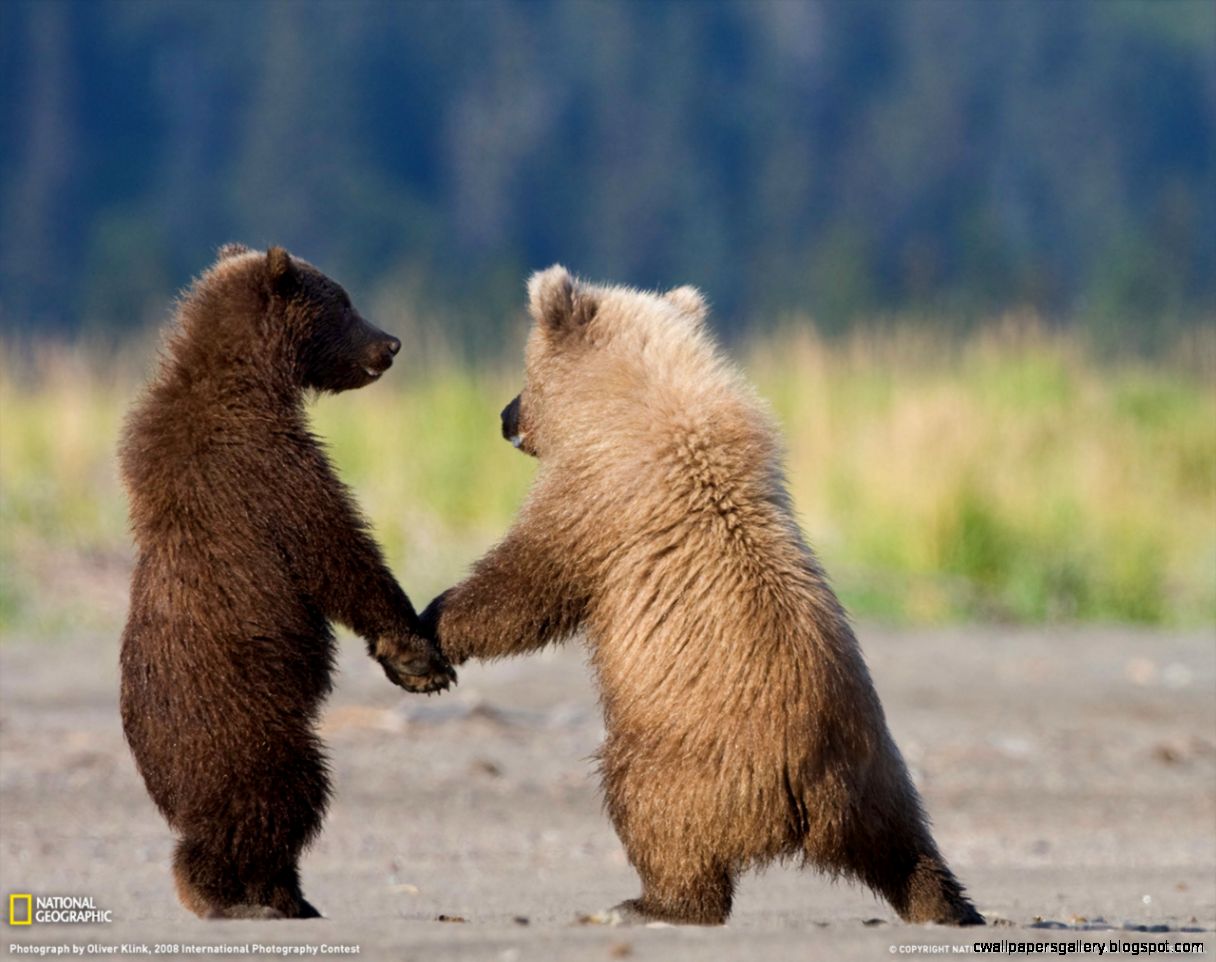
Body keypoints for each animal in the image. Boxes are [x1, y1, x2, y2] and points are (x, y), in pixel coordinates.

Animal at [119, 244, 455, 920]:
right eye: (344, 302)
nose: (391, 342)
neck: (252, 379)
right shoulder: (264, 463)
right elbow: (333, 549)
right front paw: (414, 655)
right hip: (247, 725)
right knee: (281, 795)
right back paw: (244, 893)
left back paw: (285, 894)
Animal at [422, 266, 983, 927]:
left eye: (525, 371)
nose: (505, 416)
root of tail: (811, 793)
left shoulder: (601, 498)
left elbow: (529, 583)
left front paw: (432, 625)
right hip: (880, 774)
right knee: (905, 846)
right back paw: (948, 905)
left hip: (689, 758)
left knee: (652, 812)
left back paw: (651, 901)